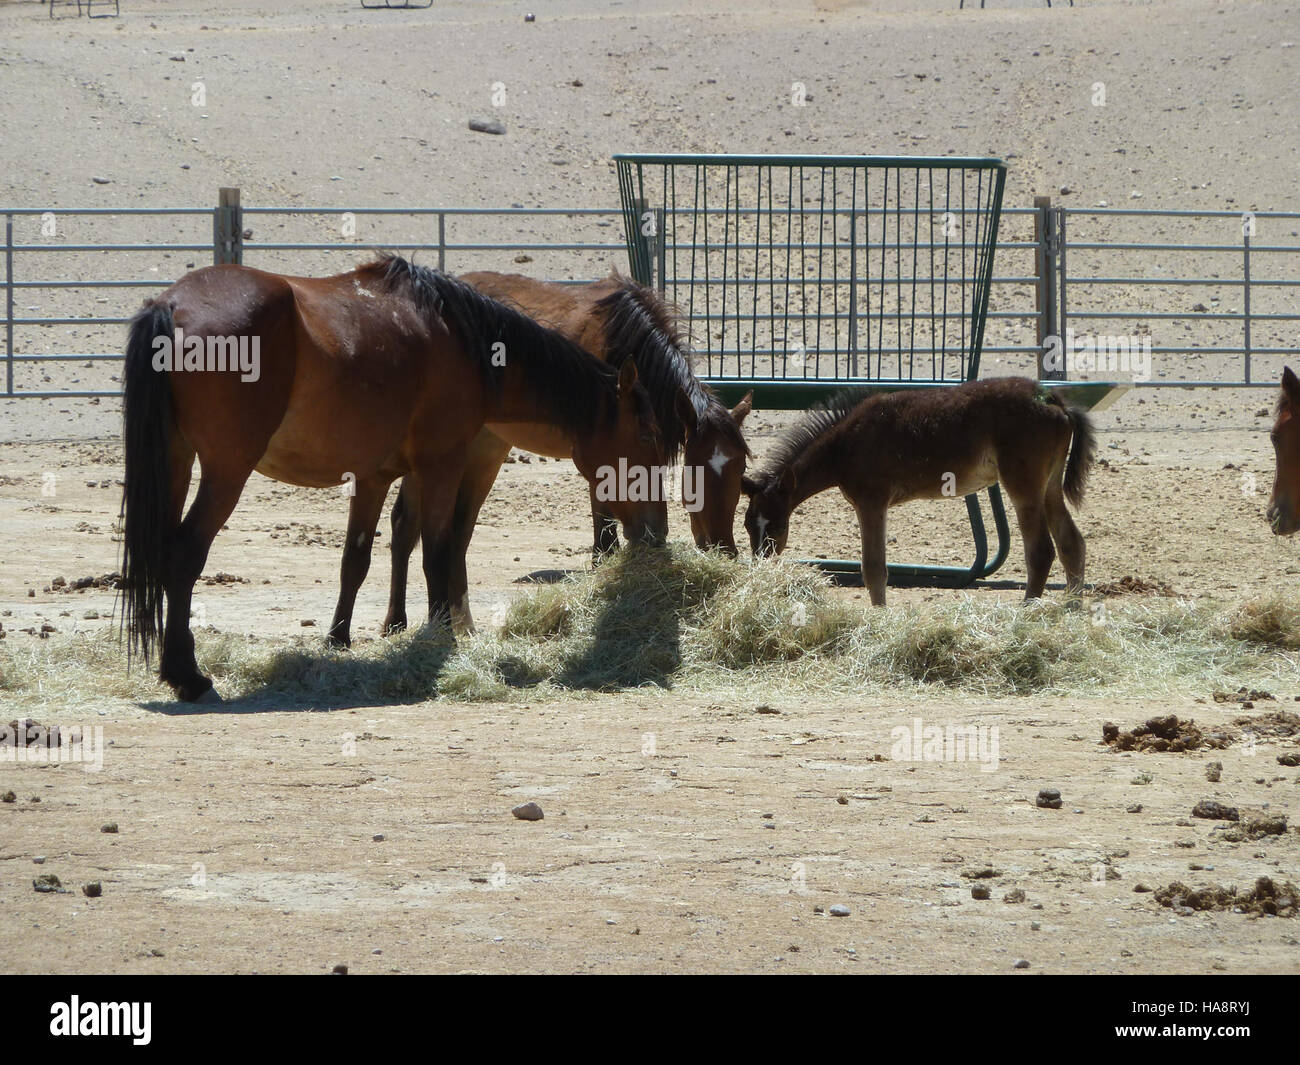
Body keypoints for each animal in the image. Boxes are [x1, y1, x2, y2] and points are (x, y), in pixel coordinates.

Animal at [119, 254, 668, 702]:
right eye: (647, 434)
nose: (658, 532)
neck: (463, 342)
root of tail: (172, 305)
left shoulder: (377, 475)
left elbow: (358, 559)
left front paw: (339, 639)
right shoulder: (442, 464)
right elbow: (438, 551)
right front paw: (442, 633)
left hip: (177, 461)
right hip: (225, 470)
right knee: (185, 553)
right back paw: (188, 677)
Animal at [379, 271, 753, 635]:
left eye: (740, 472)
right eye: (695, 474)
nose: (724, 550)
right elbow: (605, 526)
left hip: (483, 449)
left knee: (450, 529)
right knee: (407, 524)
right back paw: (397, 620)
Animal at [740, 377, 1096, 605]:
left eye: (777, 526)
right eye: (747, 525)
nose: (760, 565)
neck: (846, 444)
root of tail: (1052, 400)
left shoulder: (871, 502)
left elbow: (873, 569)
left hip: (1023, 484)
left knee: (1042, 550)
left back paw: (1027, 612)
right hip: (1050, 485)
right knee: (1071, 543)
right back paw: (1071, 607)